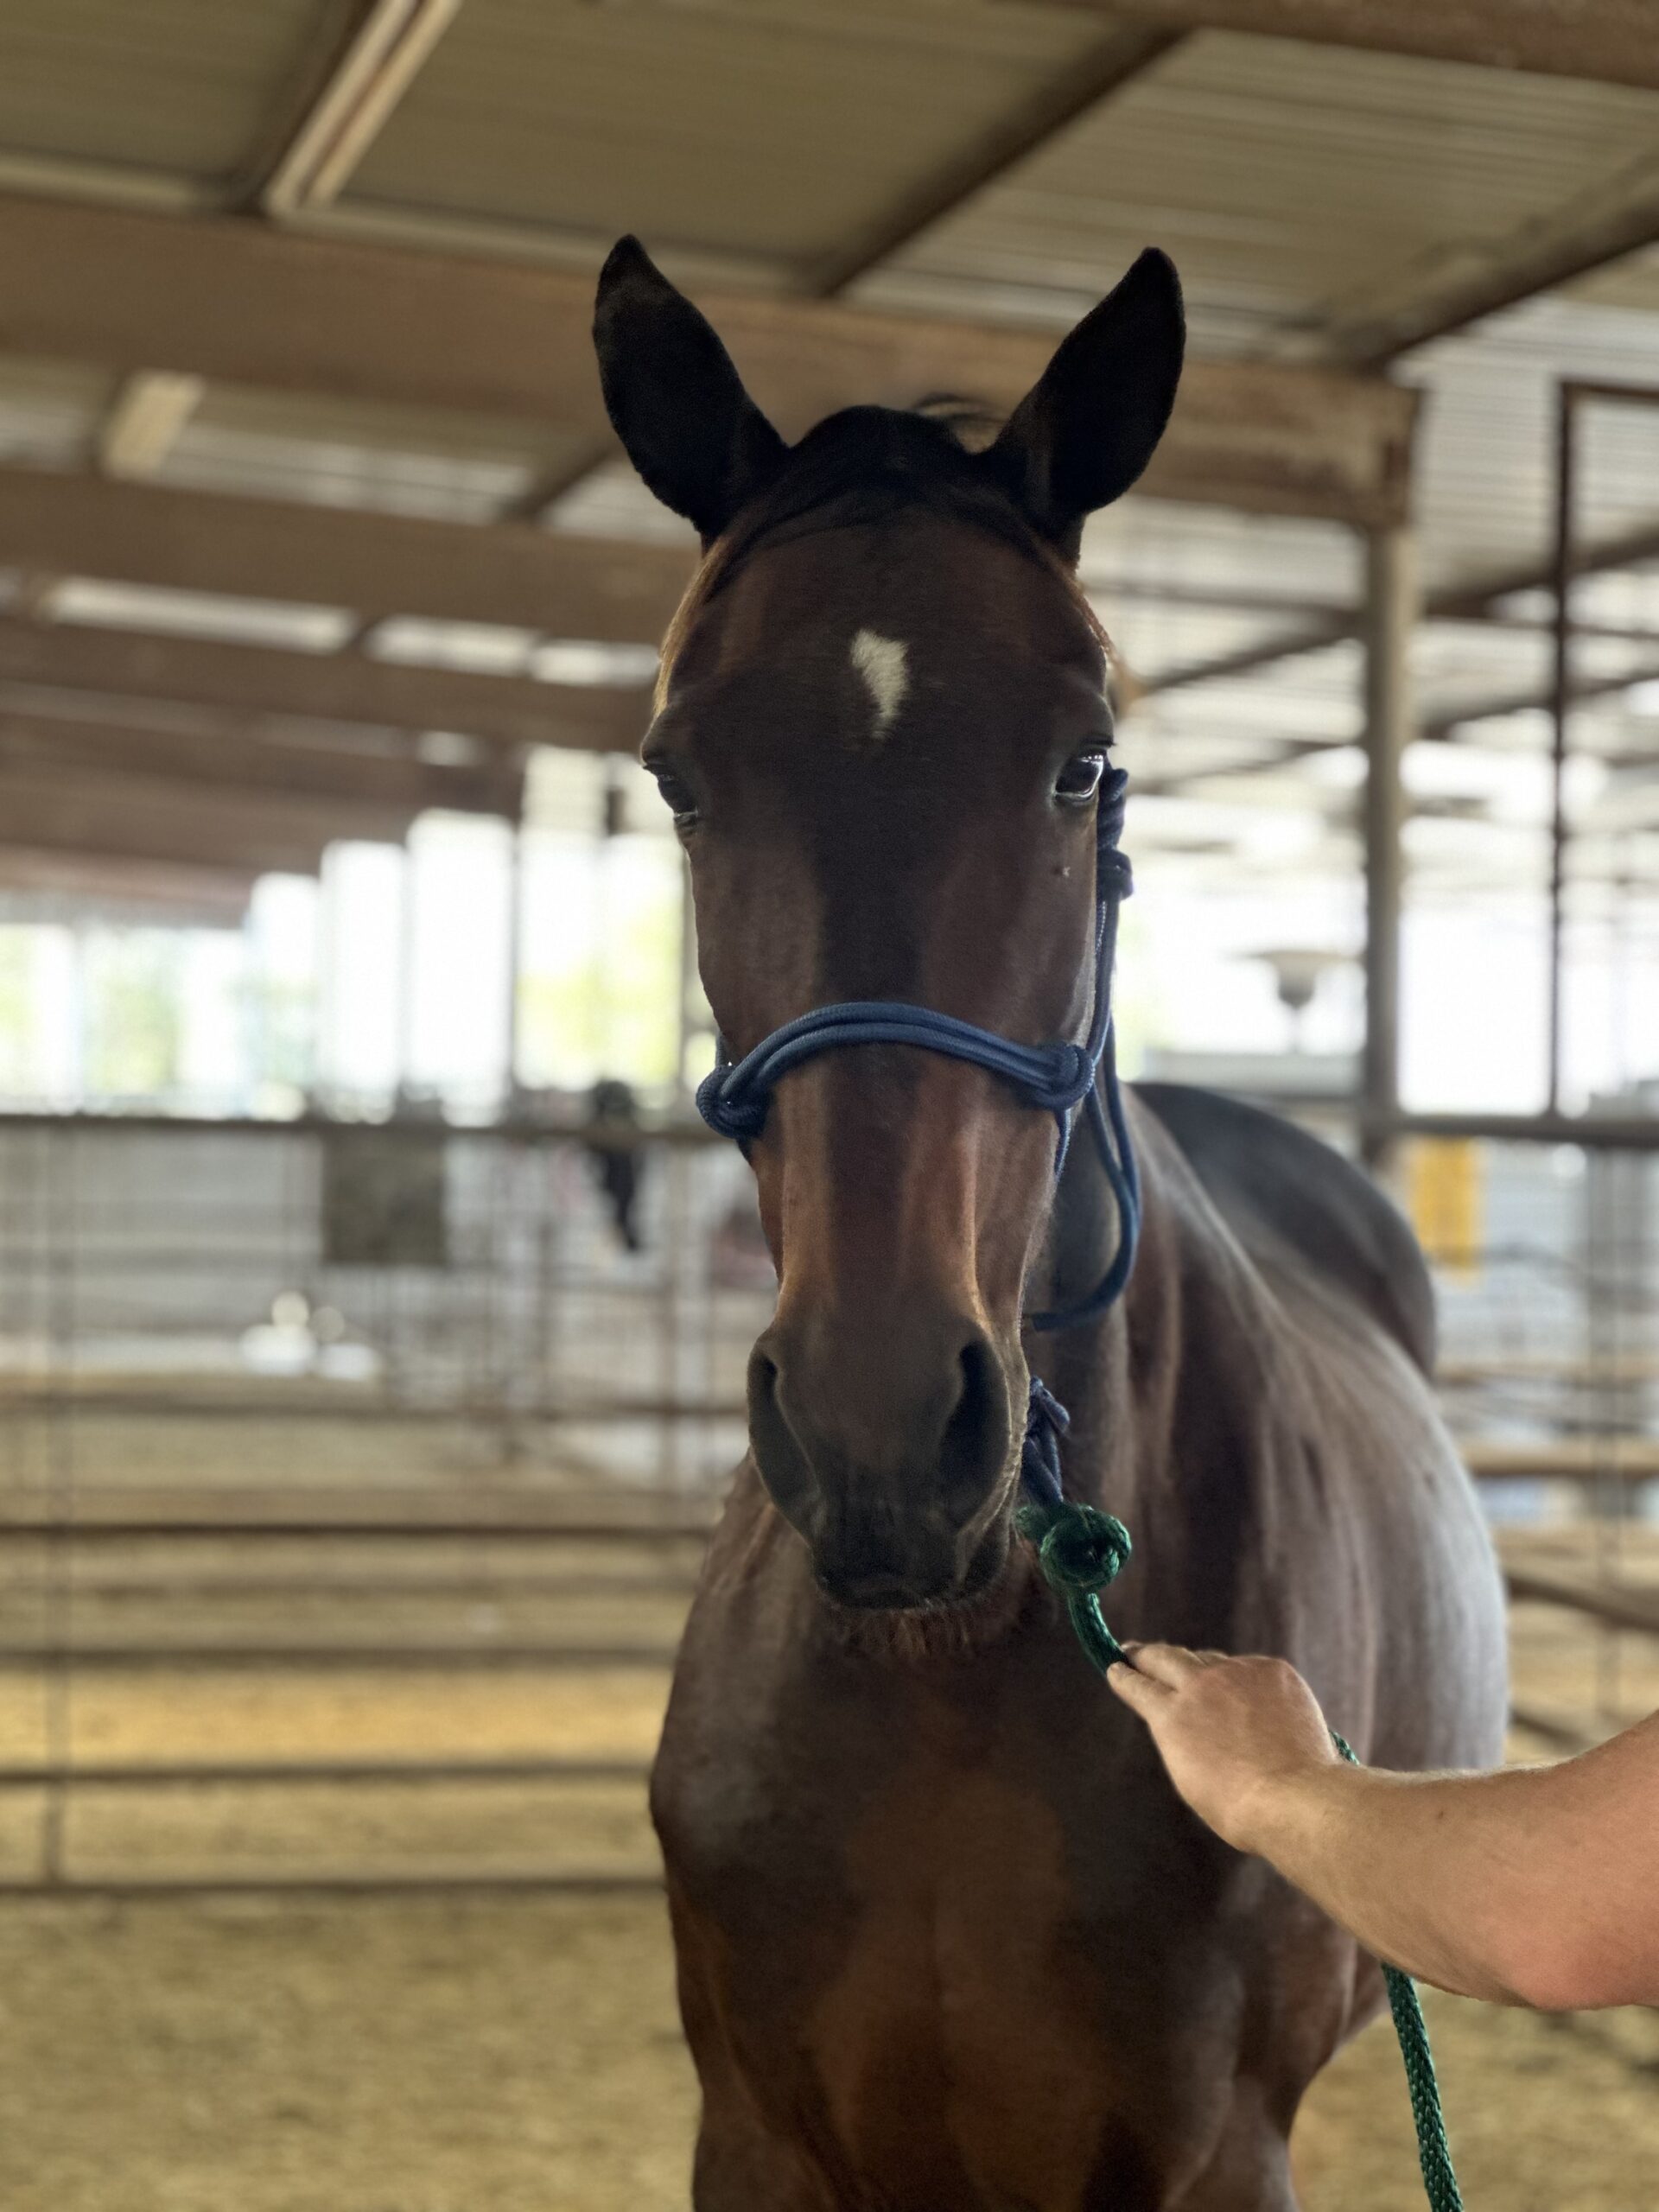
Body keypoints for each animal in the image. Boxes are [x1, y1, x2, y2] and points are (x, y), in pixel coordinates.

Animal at [592, 235, 1508, 2212]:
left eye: (1085, 762)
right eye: (677, 773)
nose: (878, 1436)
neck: (951, 1670)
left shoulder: (1217, 2154)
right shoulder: (753, 2140)